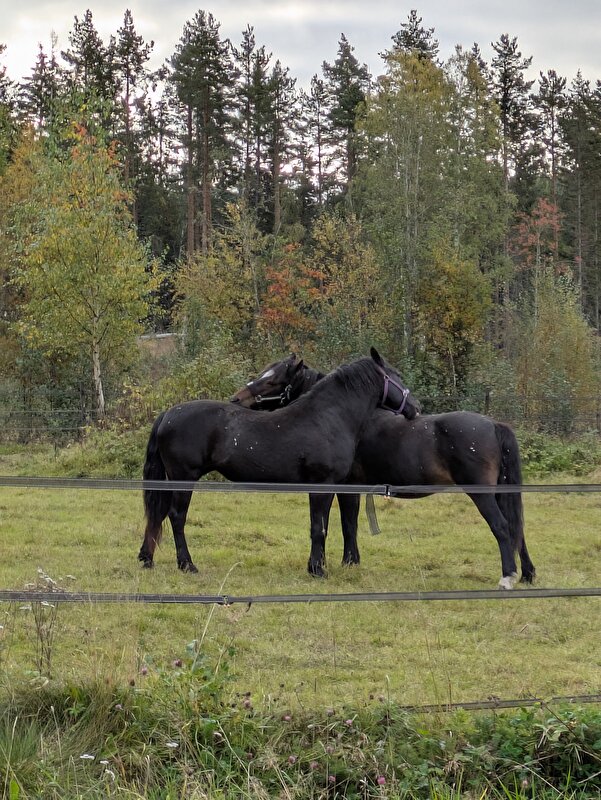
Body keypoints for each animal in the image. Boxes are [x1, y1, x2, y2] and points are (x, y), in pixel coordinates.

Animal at [139, 348, 420, 574]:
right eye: (397, 376)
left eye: (272, 380)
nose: (415, 407)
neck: (328, 418)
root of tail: (168, 414)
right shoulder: (323, 484)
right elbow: (320, 526)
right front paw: (318, 569)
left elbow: (329, 524)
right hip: (183, 477)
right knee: (176, 516)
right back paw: (187, 564)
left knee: (158, 514)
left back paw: (147, 559)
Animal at [231, 354, 536, 589]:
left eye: (272, 380)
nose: (236, 399)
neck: (349, 418)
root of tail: (494, 424)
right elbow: (350, 524)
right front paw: (351, 562)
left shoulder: (346, 486)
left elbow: (347, 524)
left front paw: (346, 562)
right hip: (500, 492)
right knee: (516, 528)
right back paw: (527, 573)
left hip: (482, 494)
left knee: (502, 526)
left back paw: (507, 576)